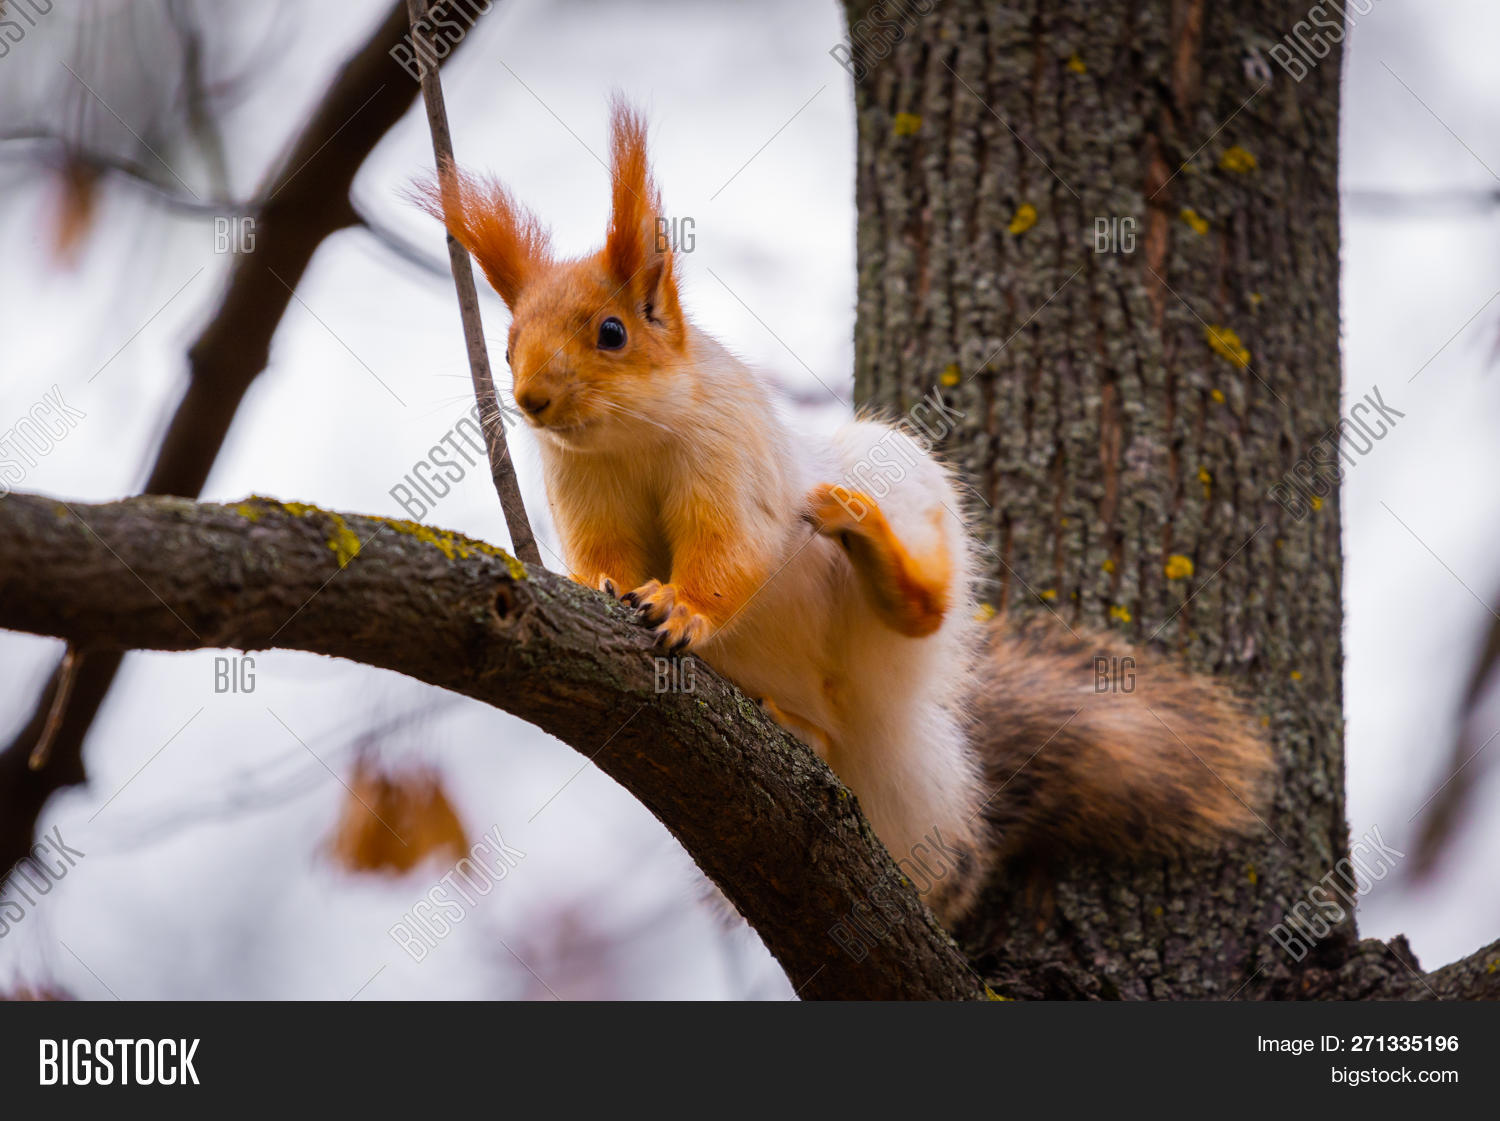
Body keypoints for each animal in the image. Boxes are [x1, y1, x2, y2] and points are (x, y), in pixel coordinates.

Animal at [417, 100, 1273, 924]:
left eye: (612, 331)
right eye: (507, 344)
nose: (530, 399)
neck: (634, 439)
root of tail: (874, 734)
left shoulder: (731, 456)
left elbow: (732, 547)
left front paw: (684, 607)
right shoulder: (582, 483)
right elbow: (605, 551)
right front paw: (599, 585)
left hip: (892, 538)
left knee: (920, 615)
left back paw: (871, 549)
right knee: (819, 725)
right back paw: (794, 722)